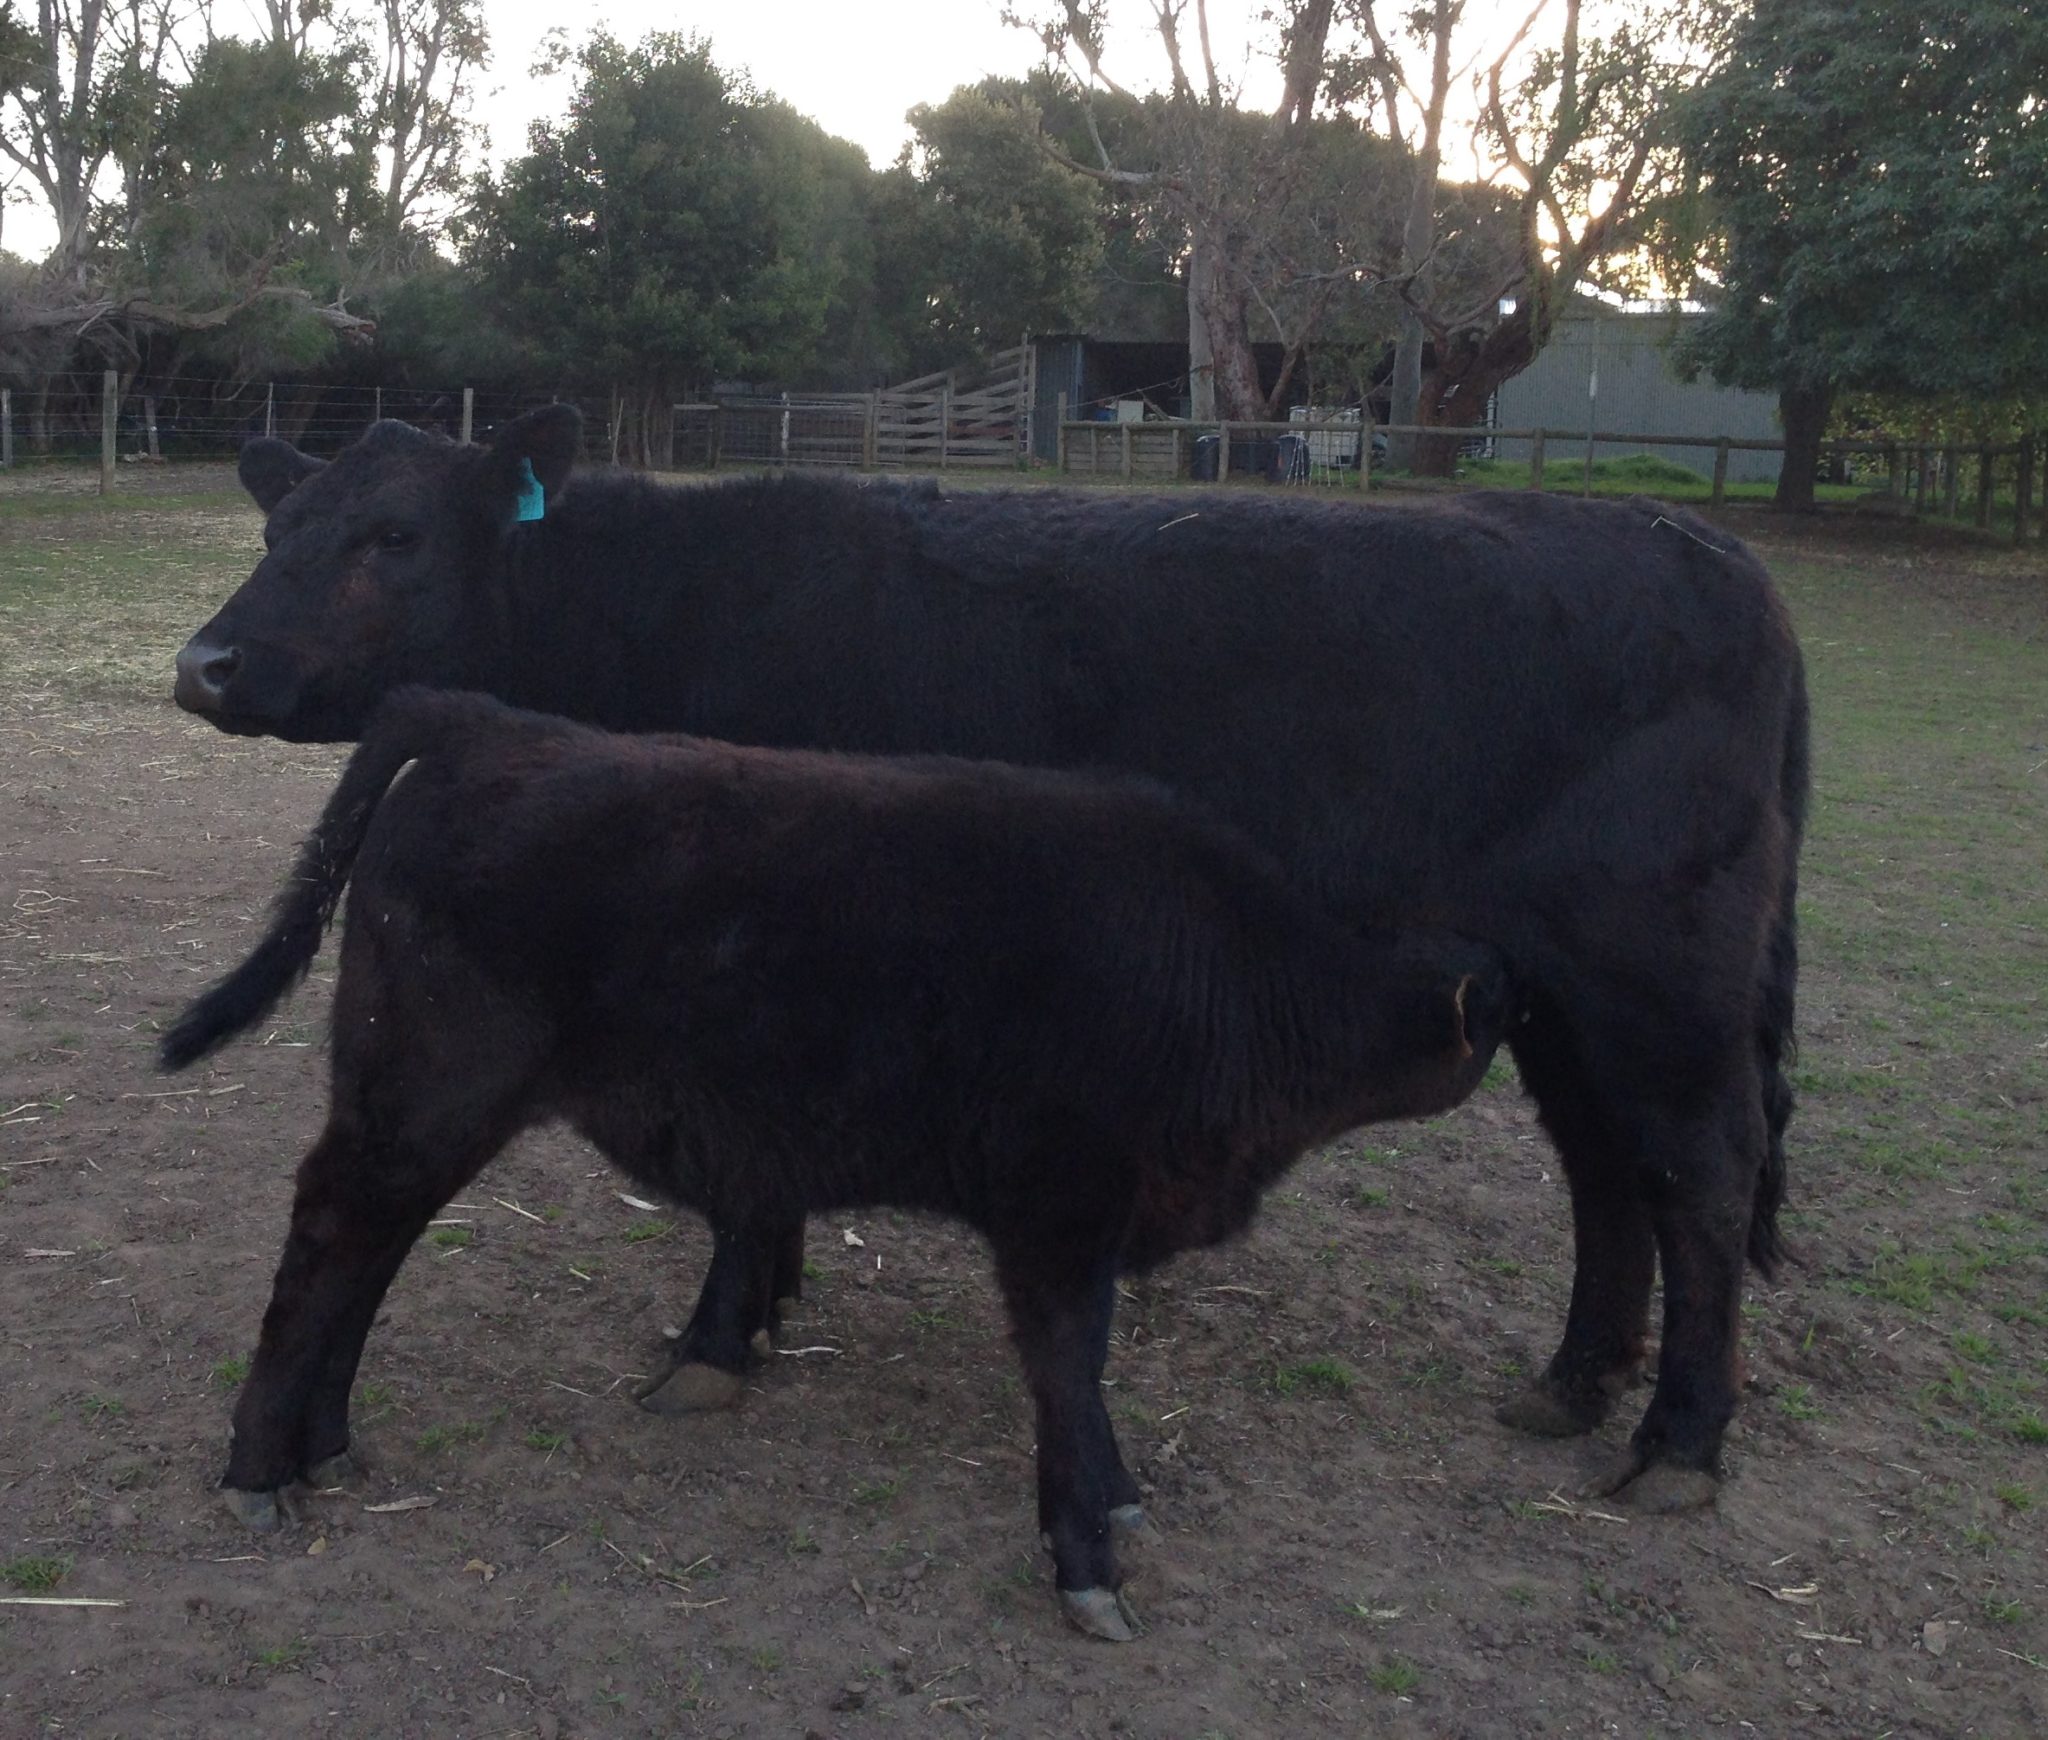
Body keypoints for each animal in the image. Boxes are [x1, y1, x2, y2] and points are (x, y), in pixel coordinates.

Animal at [161, 688, 1512, 1638]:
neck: (1220, 973)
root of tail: (488, 723)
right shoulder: (1058, 1216)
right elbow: (1069, 1370)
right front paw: (1087, 1555)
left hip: (422, 1108)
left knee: (366, 1253)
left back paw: (325, 1446)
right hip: (422, 1097)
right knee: (331, 1238)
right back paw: (258, 1468)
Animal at [172, 405, 1809, 1512]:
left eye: (391, 536)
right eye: (272, 531)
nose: (206, 664)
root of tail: (1700, 549)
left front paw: (717, 1340)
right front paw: (766, 1307)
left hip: (1658, 975)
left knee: (1700, 1174)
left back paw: (1678, 1443)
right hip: (1561, 995)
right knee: (1609, 1172)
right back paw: (1572, 1386)